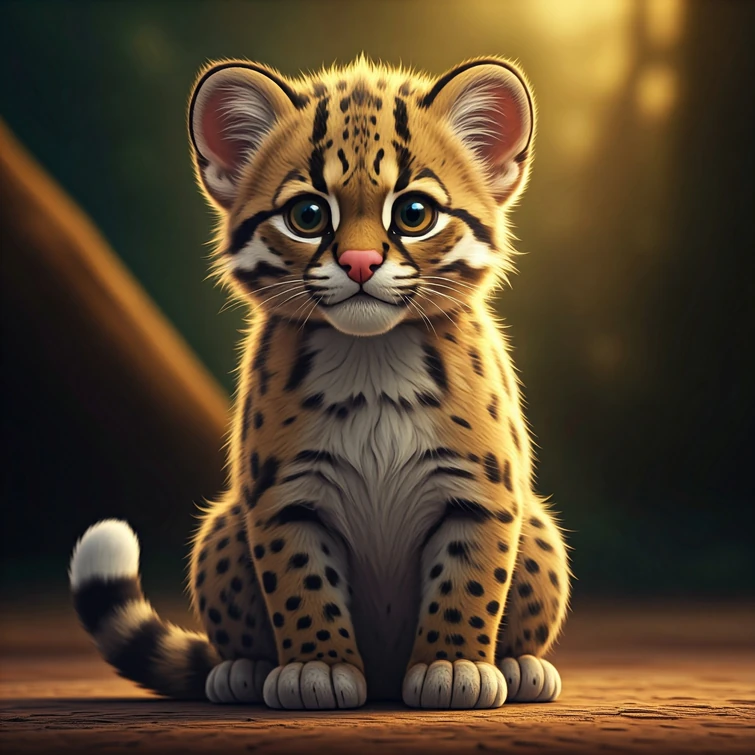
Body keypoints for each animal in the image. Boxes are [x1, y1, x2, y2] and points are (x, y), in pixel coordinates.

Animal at [69, 54, 571, 710]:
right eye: (307, 216)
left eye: (414, 214)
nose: (359, 264)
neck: (371, 357)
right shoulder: (283, 495)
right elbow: (301, 584)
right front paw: (317, 667)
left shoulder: (482, 490)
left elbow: (468, 580)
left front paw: (454, 663)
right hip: (224, 524)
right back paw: (243, 670)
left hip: (536, 523)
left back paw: (520, 665)